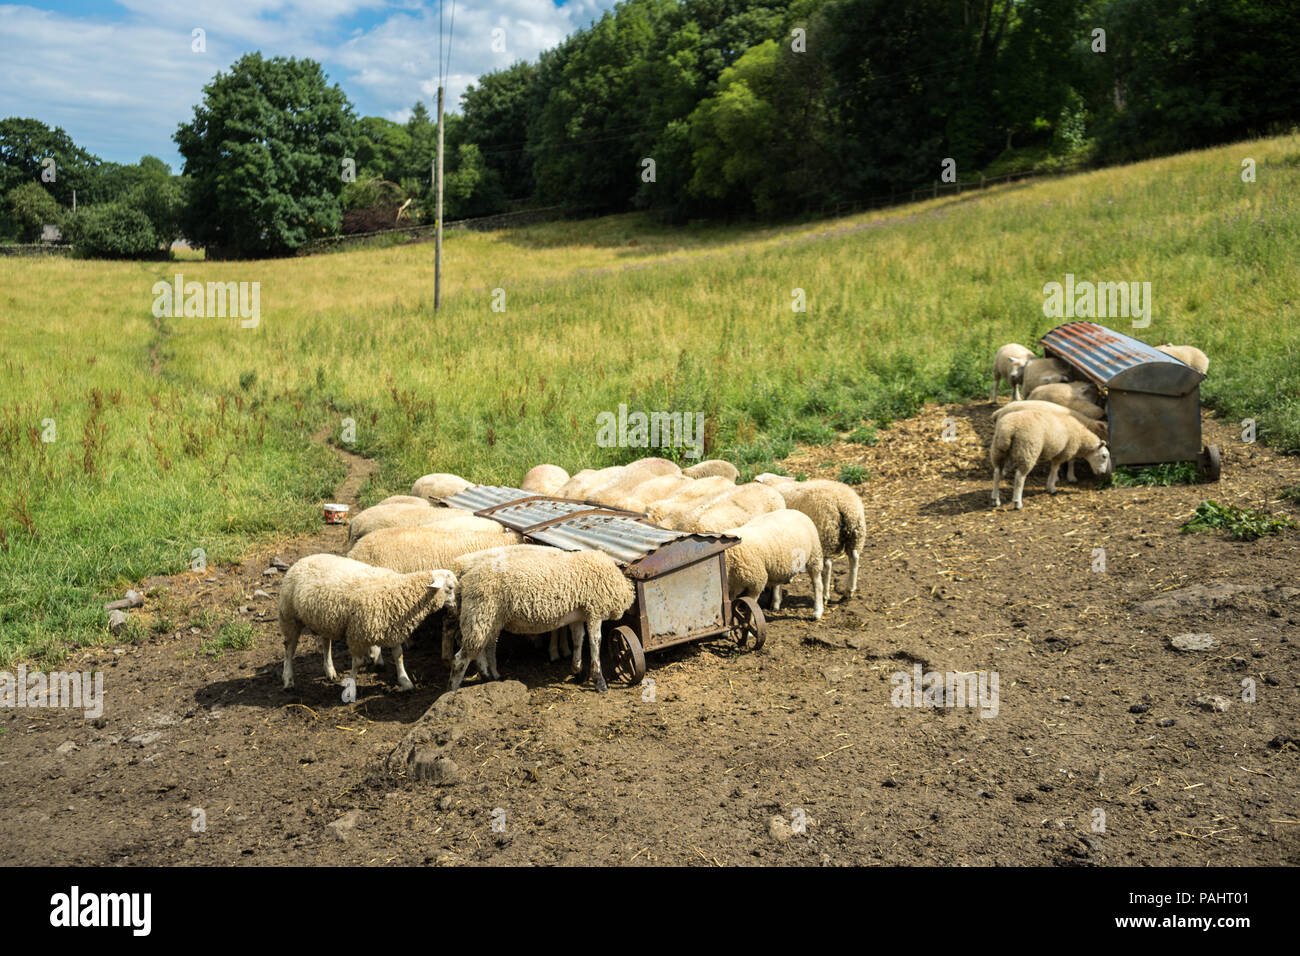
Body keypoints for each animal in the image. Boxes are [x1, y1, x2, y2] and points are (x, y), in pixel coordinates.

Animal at [279, 554, 456, 692]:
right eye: (450, 588)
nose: (456, 606)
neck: (400, 591)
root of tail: (303, 560)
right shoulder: (357, 635)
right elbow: (357, 662)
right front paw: (351, 686)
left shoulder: (392, 629)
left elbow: (398, 656)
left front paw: (405, 682)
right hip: (290, 617)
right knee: (289, 649)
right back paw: (288, 679)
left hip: (325, 619)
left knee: (326, 642)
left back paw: (329, 670)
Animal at [449, 547, 636, 693]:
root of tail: (464, 581)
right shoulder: (595, 611)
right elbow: (595, 642)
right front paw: (599, 681)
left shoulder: (579, 615)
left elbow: (578, 639)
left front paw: (577, 670)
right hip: (480, 613)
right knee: (460, 659)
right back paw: (452, 691)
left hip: (486, 618)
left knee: (480, 649)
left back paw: (489, 677)